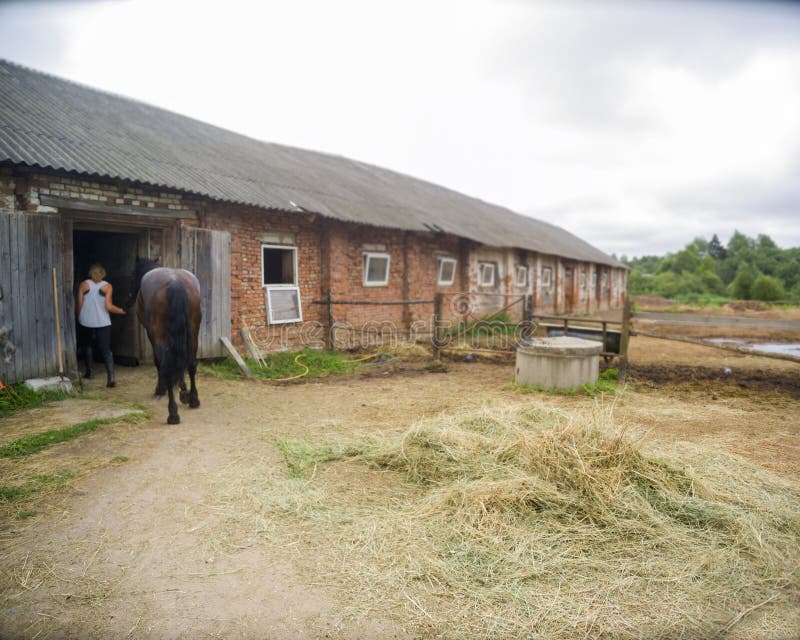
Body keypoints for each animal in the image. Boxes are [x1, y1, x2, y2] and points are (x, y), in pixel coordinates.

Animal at [128, 257, 202, 424]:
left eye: (133, 274)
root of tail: (175, 282)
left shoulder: (152, 334)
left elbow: (159, 362)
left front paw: (161, 389)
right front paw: (183, 389)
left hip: (160, 335)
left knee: (166, 365)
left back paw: (172, 413)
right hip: (193, 333)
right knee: (191, 364)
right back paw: (193, 400)